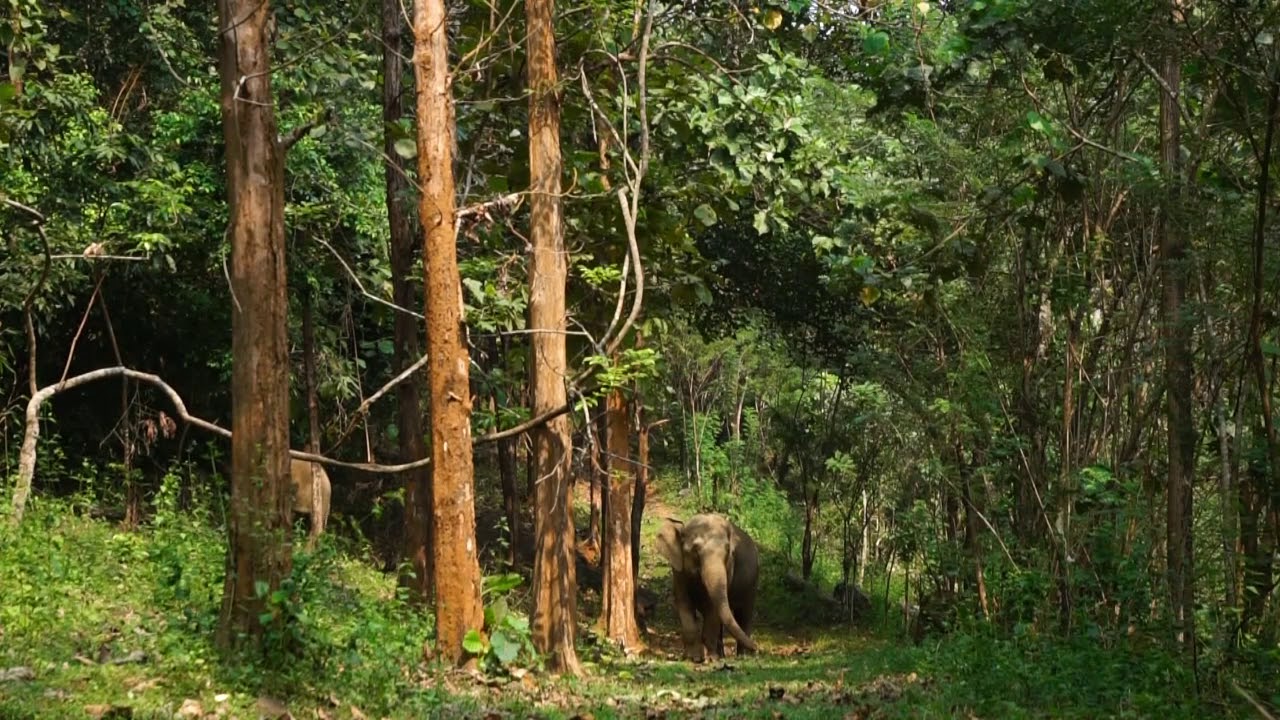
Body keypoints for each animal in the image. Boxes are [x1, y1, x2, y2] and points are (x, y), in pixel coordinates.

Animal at [655, 513, 759, 662]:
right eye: (695, 550)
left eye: (728, 551)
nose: (757, 647)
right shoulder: (678, 571)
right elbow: (683, 603)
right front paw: (693, 658)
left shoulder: (729, 567)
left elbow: (712, 609)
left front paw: (710, 659)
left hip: (753, 582)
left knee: (744, 614)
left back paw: (743, 656)